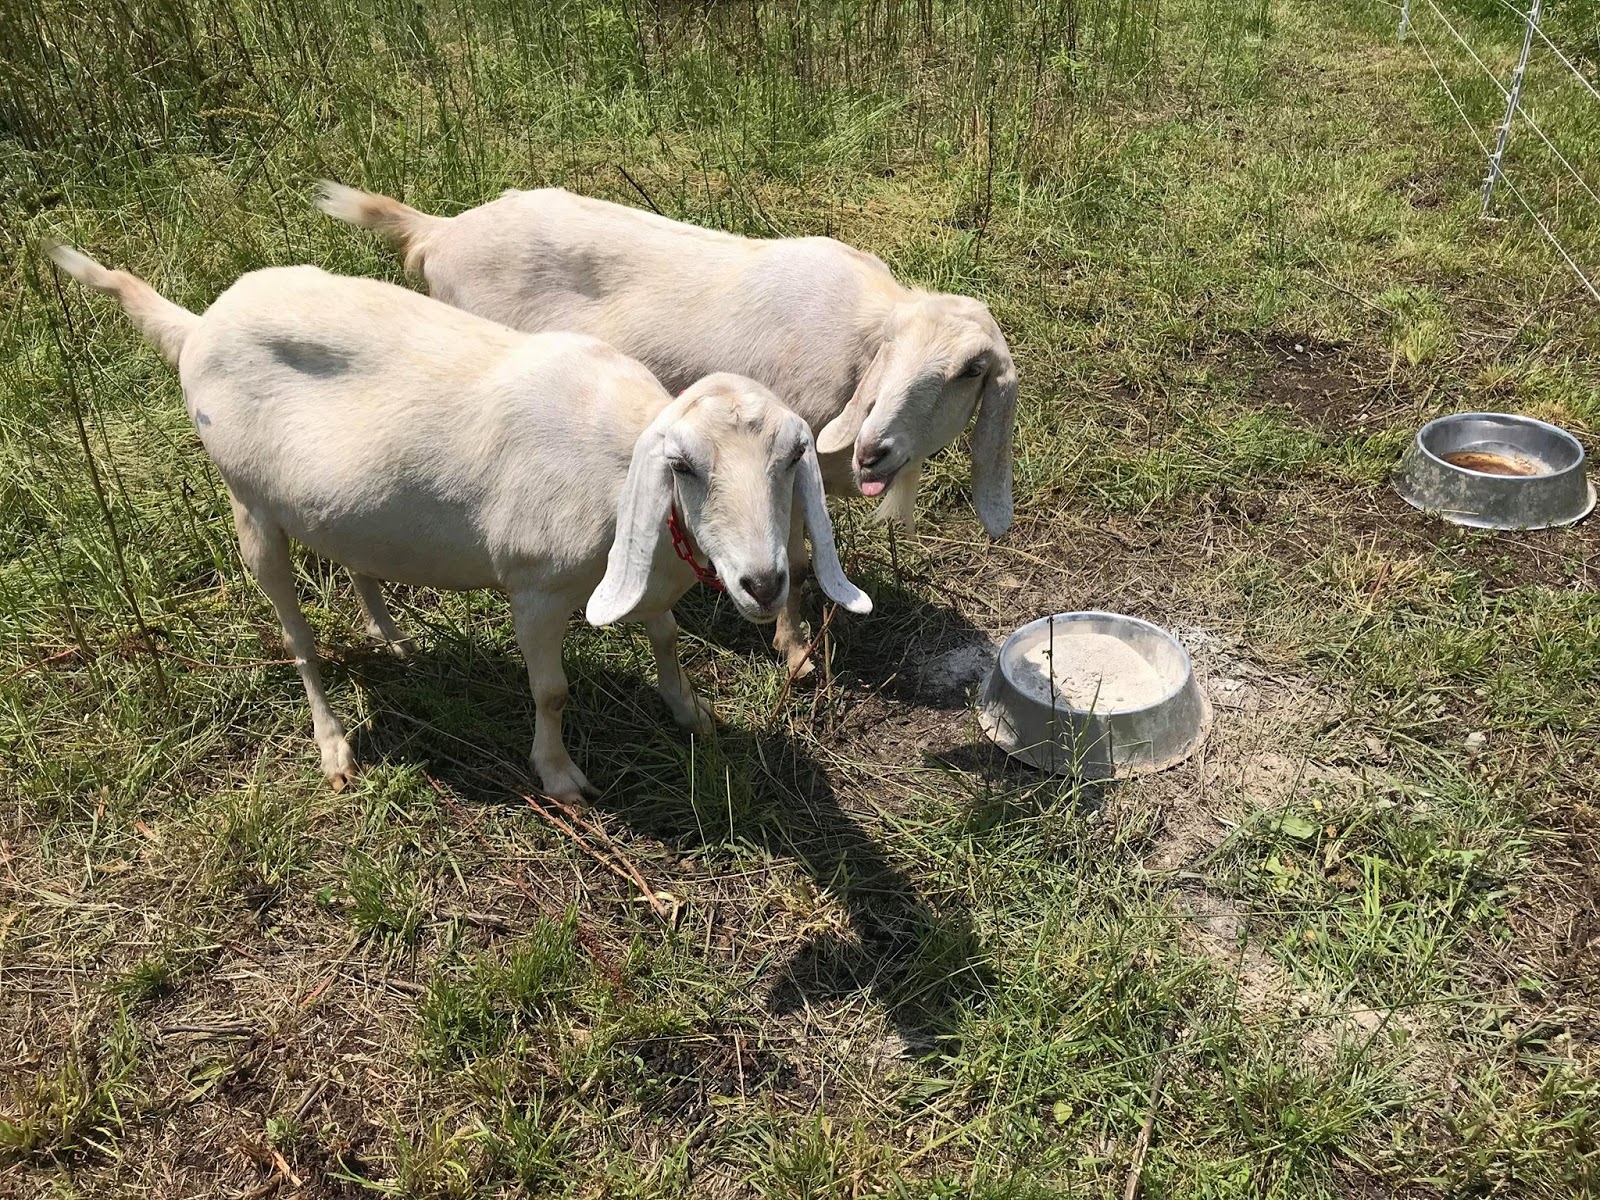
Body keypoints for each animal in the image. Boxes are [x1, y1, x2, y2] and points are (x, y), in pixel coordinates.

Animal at [47, 244, 870, 800]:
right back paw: (333, 745)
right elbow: (551, 691)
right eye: (686, 466)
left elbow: (667, 638)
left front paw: (688, 710)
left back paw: (392, 637)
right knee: (297, 638)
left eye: (790, 458)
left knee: (357, 558)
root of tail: (195, 328)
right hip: (249, 503)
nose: (763, 582)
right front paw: (559, 773)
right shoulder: (536, 587)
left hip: (347, 506)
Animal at [317, 182, 1017, 676]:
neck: (856, 347)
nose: (873, 452)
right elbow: (792, 561)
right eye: (892, 353)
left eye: (971, 371)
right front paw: (794, 650)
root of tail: (441, 231)